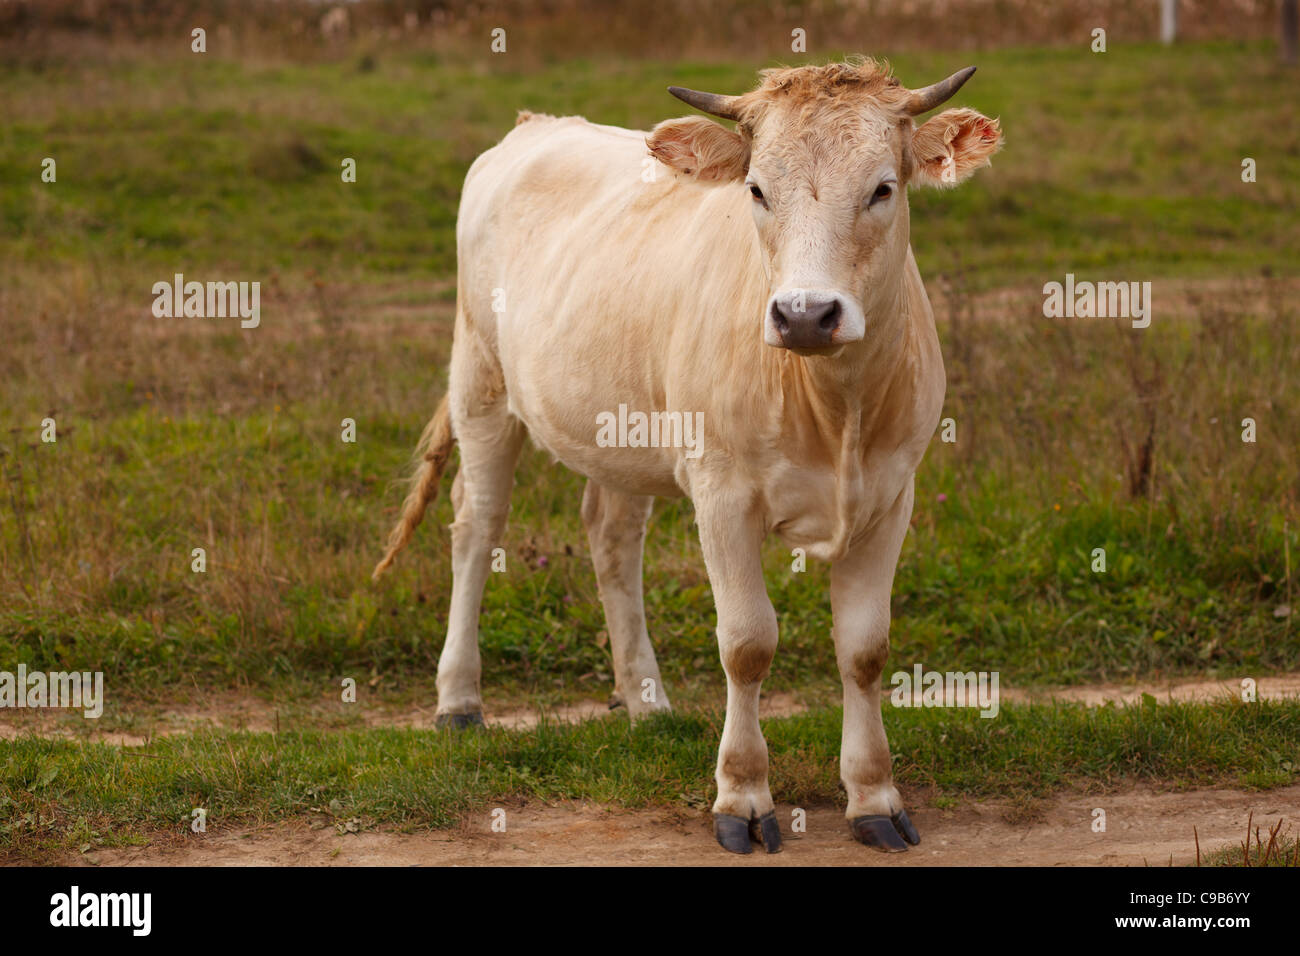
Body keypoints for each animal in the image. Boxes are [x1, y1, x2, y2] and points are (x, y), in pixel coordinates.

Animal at [373, 58, 1002, 855]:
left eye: (883, 188)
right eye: (756, 189)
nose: (805, 316)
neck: (832, 405)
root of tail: (536, 126)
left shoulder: (892, 496)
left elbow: (864, 649)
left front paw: (874, 799)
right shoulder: (722, 492)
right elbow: (747, 642)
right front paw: (743, 797)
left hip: (618, 428)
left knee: (612, 539)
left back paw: (646, 701)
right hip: (479, 379)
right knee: (476, 526)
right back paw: (458, 700)